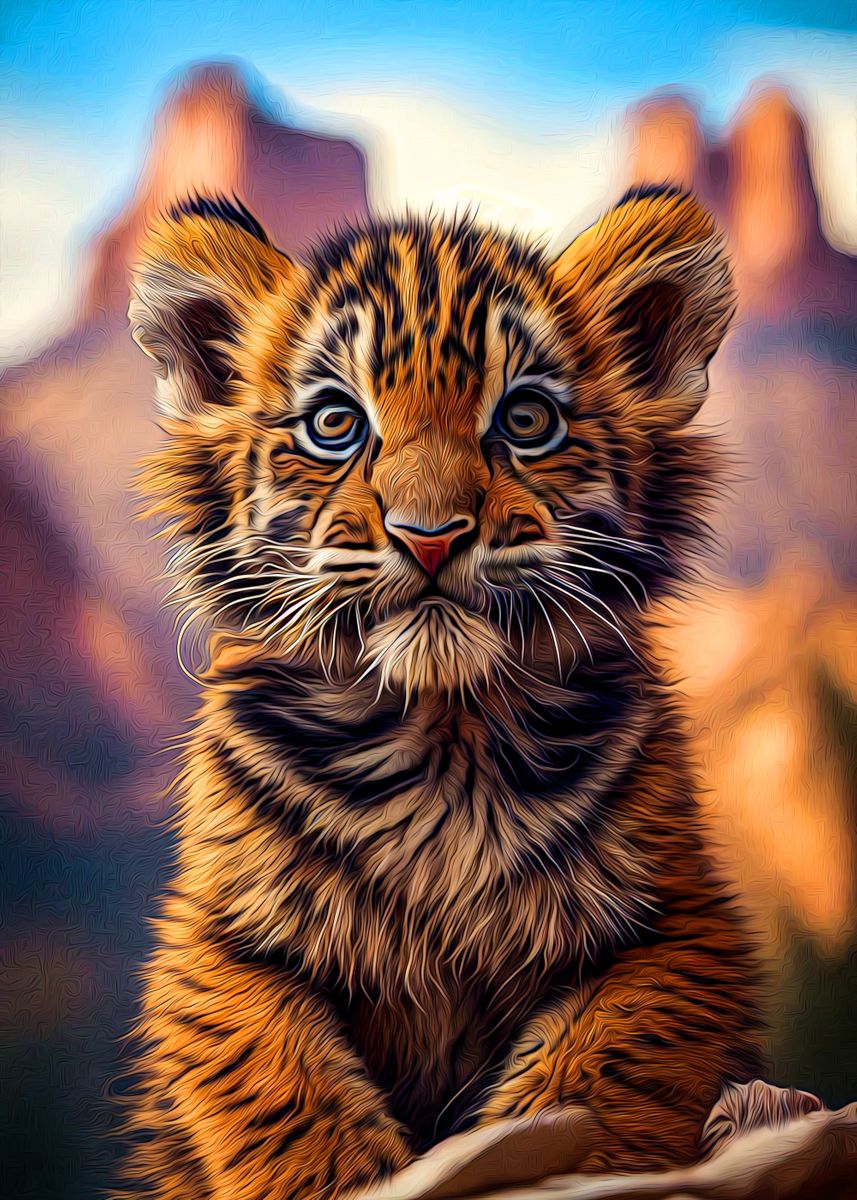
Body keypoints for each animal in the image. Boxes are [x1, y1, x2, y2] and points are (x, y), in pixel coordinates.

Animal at [121, 186, 760, 1199]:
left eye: (526, 421)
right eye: (334, 424)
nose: (430, 535)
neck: (441, 737)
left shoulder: (677, 929)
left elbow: (597, 1075)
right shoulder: (217, 938)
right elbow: (283, 1092)